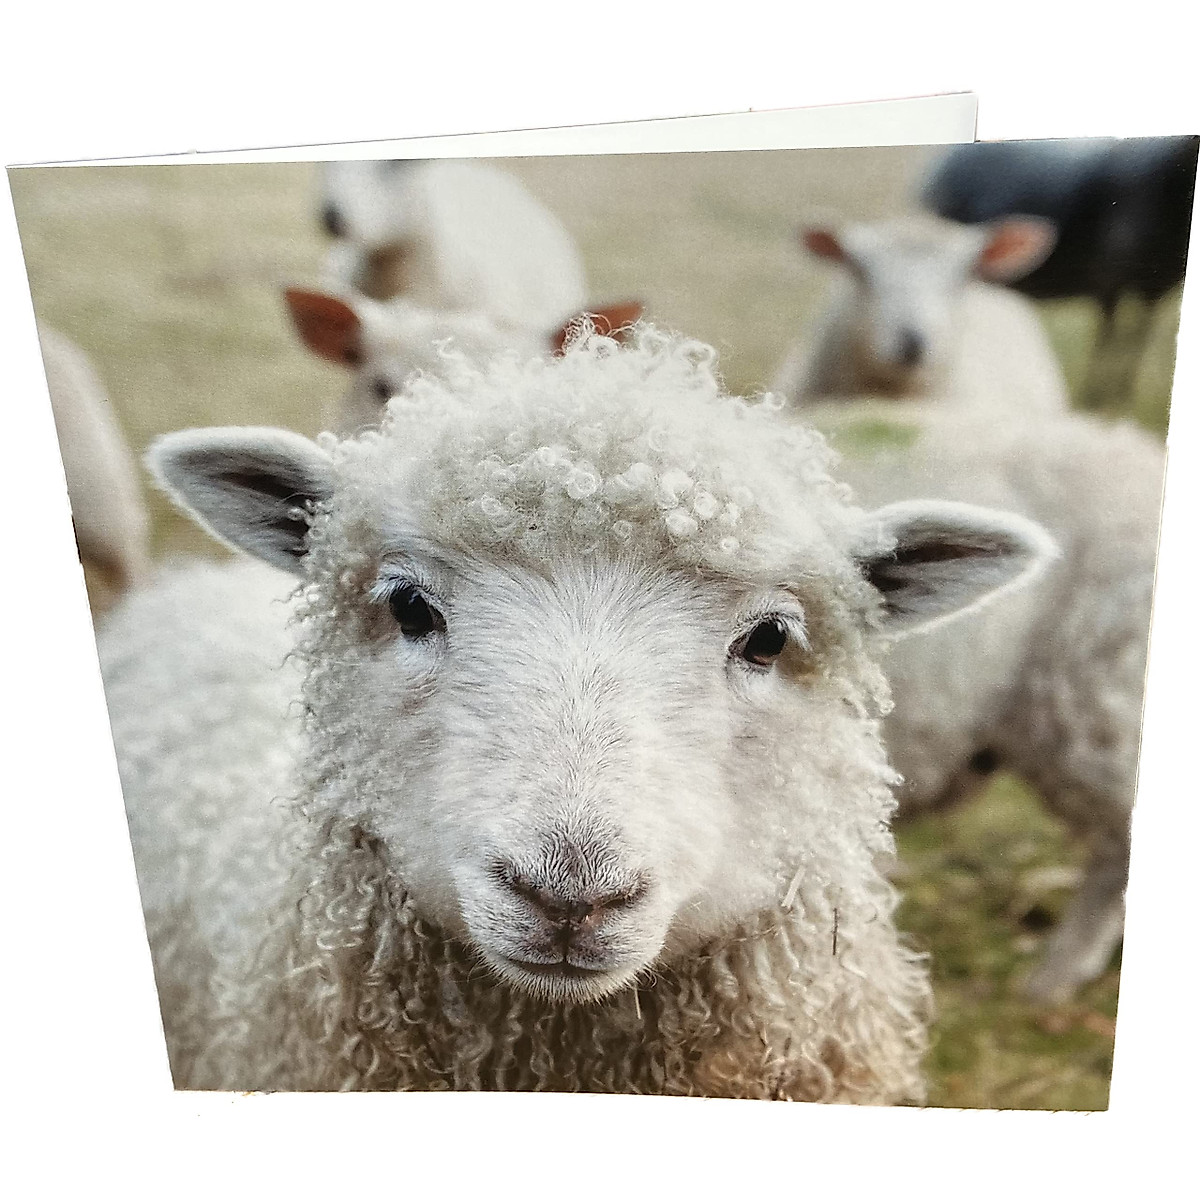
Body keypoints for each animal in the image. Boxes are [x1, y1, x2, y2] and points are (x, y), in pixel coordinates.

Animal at [922, 136, 1200, 410]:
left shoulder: (1155, 288)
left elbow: (1135, 341)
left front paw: (1119, 397)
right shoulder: (1109, 277)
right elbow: (1108, 340)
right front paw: (1095, 398)